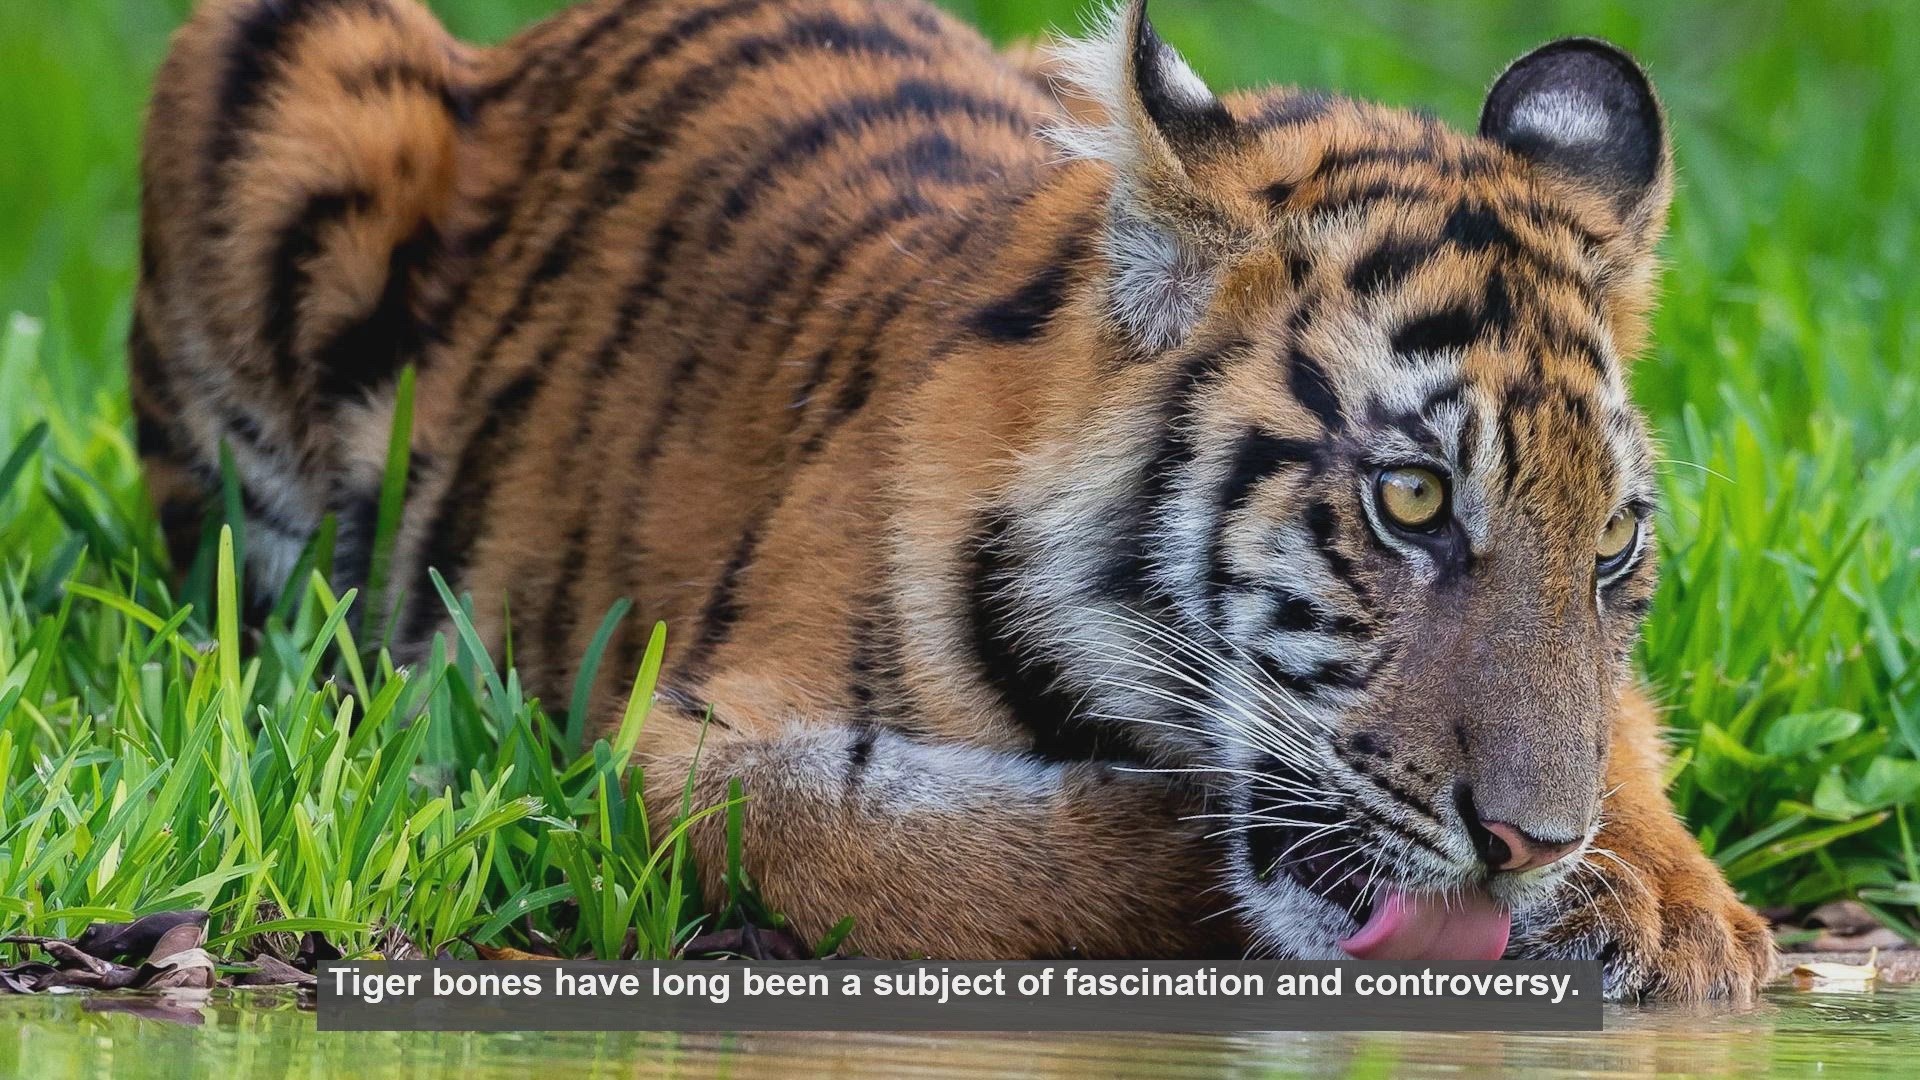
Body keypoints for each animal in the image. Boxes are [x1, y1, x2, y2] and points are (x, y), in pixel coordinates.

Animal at [131, 0, 1776, 999]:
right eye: (1416, 500)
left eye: (1614, 544)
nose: (1531, 848)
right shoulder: (705, 748)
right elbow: (1014, 859)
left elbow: (1628, 731)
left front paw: (1667, 911)